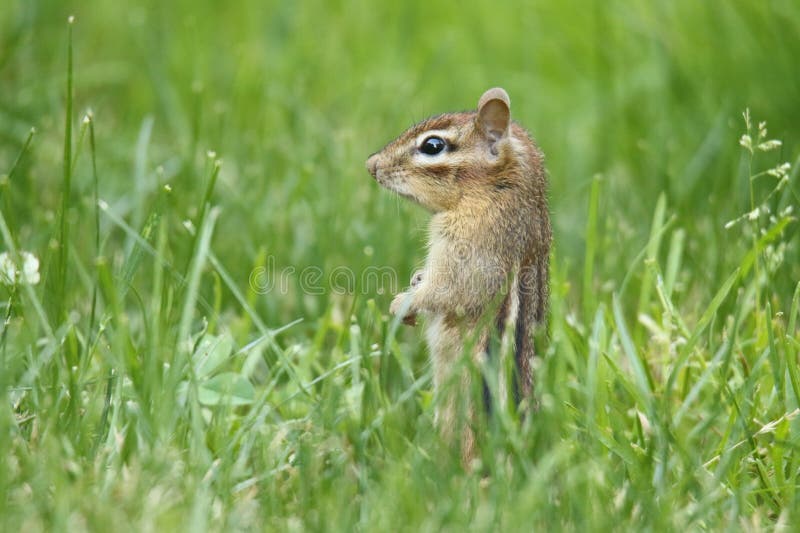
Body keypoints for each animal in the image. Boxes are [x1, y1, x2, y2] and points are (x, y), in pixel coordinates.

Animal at [366, 87, 551, 462]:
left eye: (433, 146)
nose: (372, 165)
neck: (495, 191)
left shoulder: (471, 250)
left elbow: (447, 290)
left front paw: (402, 302)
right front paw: (414, 283)